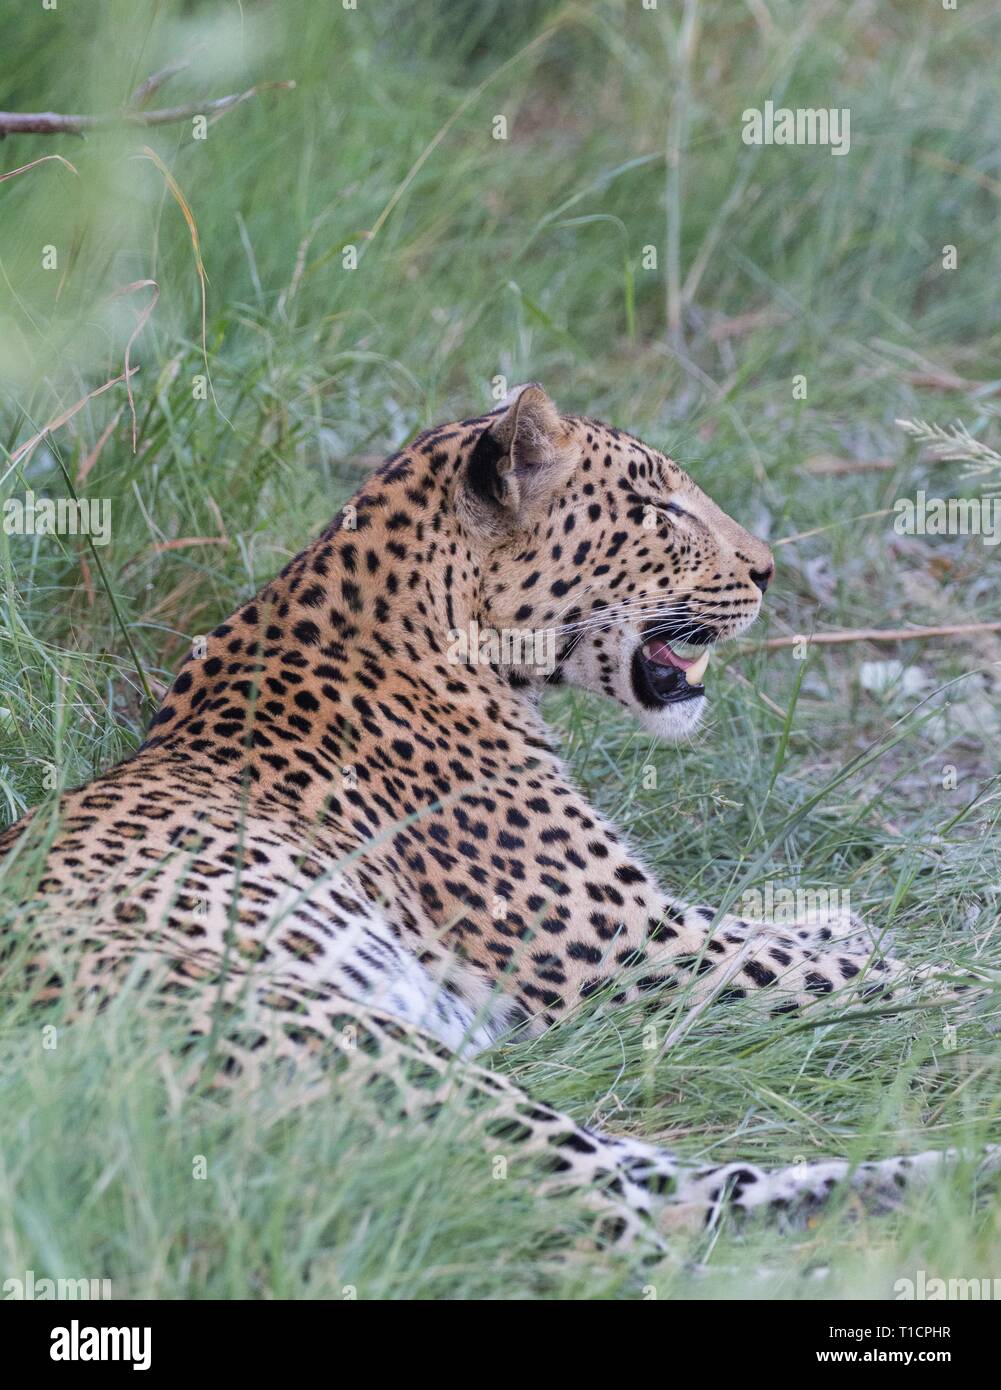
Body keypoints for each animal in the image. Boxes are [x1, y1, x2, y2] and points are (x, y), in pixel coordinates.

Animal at [1, 383, 987, 1249]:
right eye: (656, 507)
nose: (767, 571)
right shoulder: (625, 949)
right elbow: (868, 975)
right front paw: (961, 986)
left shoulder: (652, 920)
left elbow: (803, 935)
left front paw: (851, 921)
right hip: (379, 1052)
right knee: (625, 1219)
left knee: (691, 1183)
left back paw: (948, 1178)